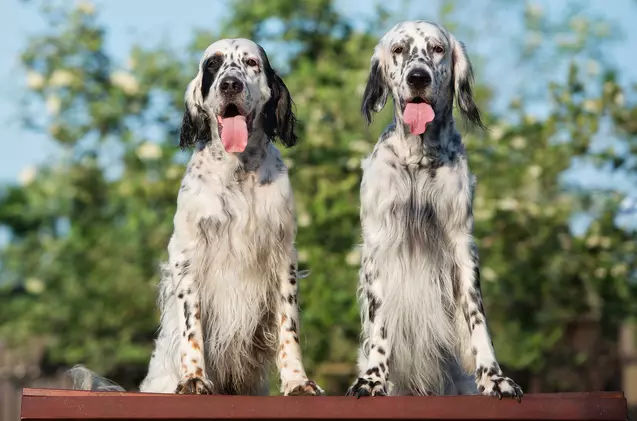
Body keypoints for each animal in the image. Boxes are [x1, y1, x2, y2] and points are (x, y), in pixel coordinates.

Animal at [69, 37, 322, 396]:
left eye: (251, 63)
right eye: (213, 65)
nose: (230, 84)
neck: (238, 171)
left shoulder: (283, 255)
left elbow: (289, 328)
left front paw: (297, 381)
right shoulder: (186, 254)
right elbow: (193, 326)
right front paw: (193, 379)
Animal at [348, 20, 520, 400]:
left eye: (437, 49)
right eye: (399, 49)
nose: (418, 77)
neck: (419, 159)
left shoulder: (462, 244)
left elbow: (476, 317)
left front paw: (494, 377)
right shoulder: (378, 246)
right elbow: (381, 323)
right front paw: (373, 379)